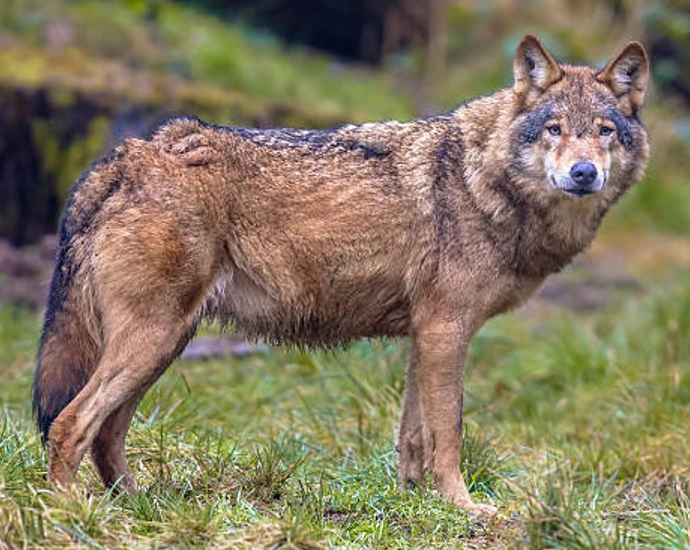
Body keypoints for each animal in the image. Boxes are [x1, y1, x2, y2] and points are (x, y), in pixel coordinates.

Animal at [33, 35, 649, 514]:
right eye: (554, 129)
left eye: (604, 131)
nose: (584, 173)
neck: (481, 180)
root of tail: (130, 154)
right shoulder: (446, 330)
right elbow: (449, 432)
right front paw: (465, 507)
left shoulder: (424, 335)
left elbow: (413, 439)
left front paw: (414, 505)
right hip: (153, 340)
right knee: (70, 424)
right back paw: (70, 513)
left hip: (166, 343)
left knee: (107, 432)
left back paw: (140, 508)